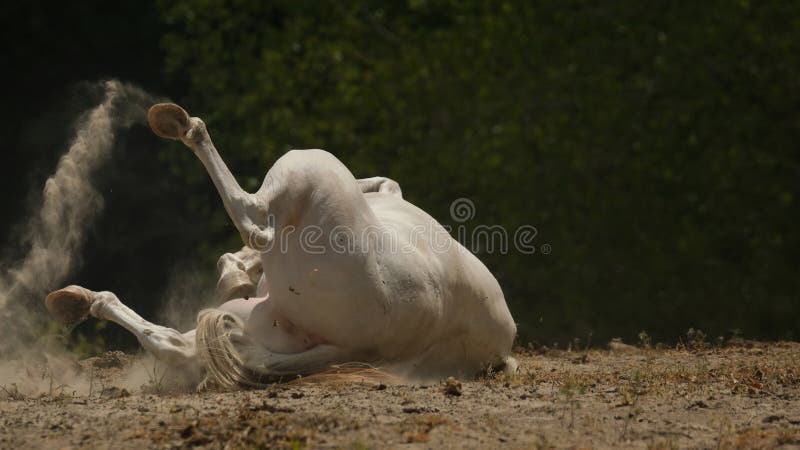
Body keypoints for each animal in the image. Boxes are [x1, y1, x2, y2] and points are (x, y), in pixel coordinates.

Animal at [44, 103, 517, 387]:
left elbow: (252, 242)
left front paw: (237, 270)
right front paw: (237, 273)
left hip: (309, 164)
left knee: (251, 219)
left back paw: (181, 124)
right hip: (259, 323)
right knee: (176, 345)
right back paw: (79, 300)